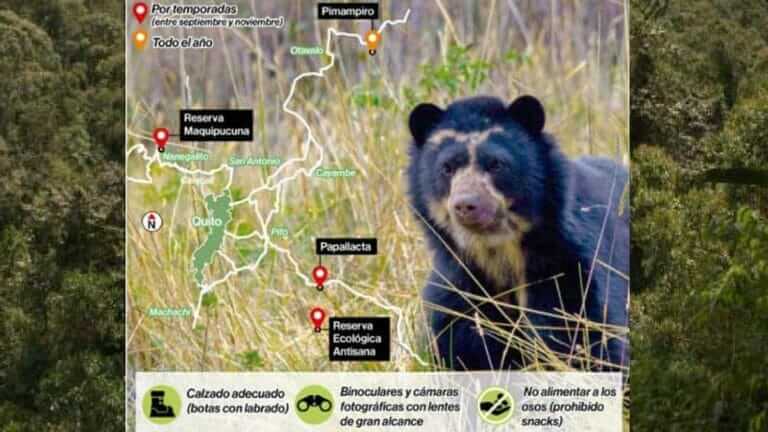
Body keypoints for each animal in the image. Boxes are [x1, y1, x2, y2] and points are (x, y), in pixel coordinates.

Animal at [406, 95, 629, 371]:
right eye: (446, 168)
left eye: (496, 164)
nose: (465, 205)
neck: (498, 252)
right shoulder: (460, 287)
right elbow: (457, 346)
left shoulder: (568, 271)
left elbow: (587, 336)